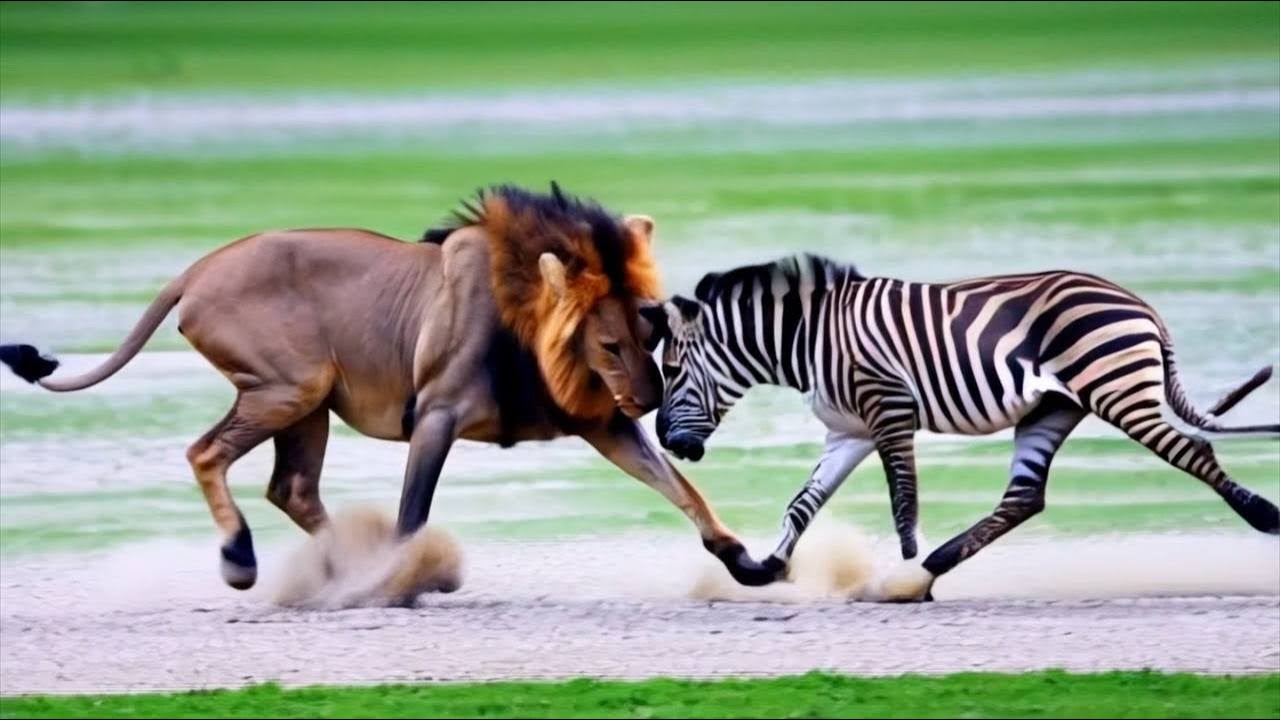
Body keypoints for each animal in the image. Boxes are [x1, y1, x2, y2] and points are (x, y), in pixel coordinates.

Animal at [640, 254, 1279, 601]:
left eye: (671, 371)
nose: (669, 441)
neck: (806, 338)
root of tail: (1138, 303)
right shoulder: (849, 432)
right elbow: (803, 503)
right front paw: (763, 569)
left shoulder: (889, 409)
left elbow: (903, 503)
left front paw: (899, 568)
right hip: (1051, 409)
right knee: (1023, 498)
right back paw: (930, 572)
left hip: (1117, 391)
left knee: (1194, 453)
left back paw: (1266, 516)